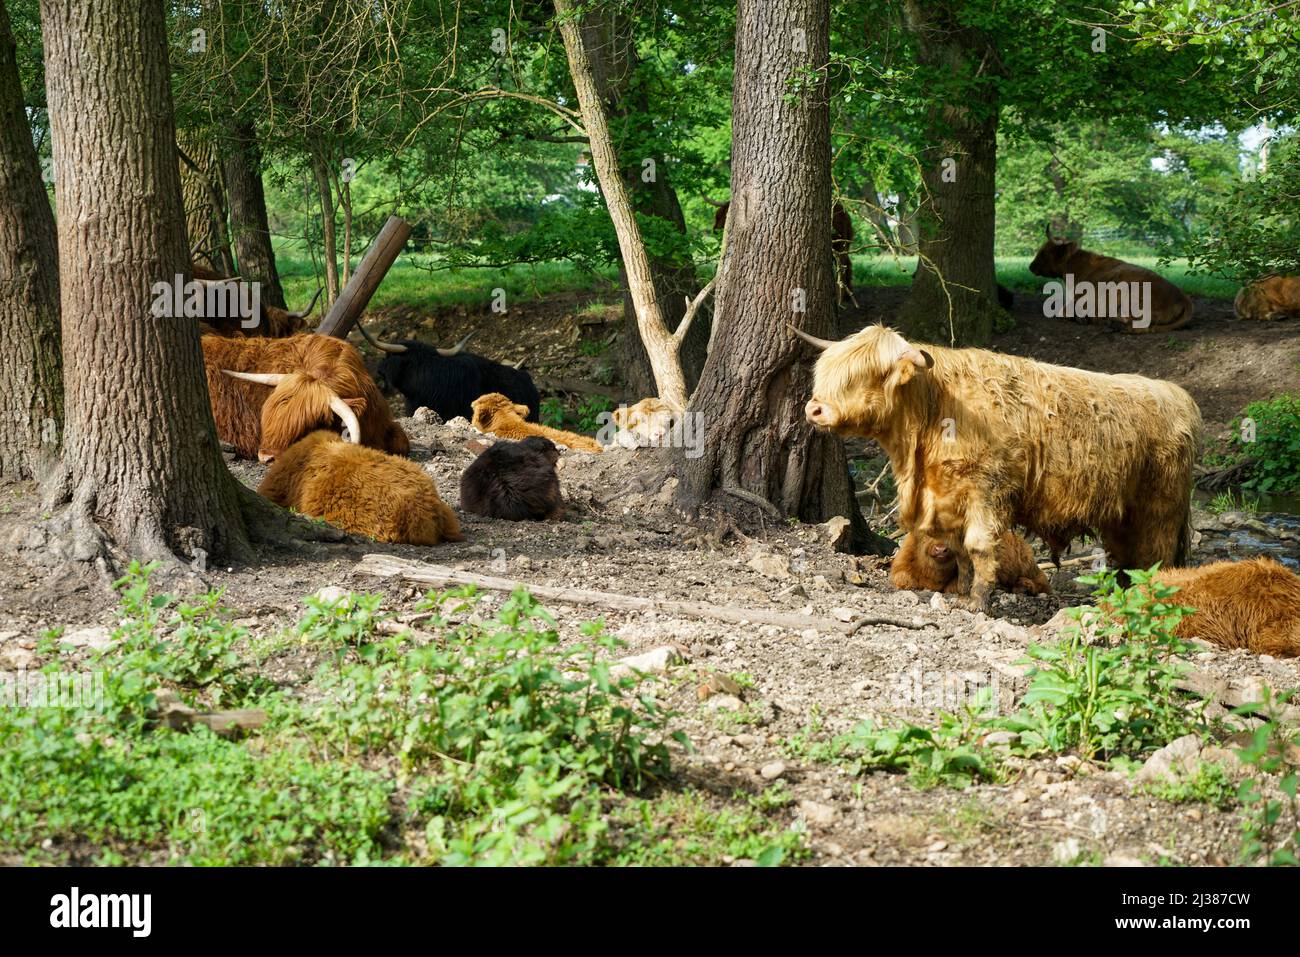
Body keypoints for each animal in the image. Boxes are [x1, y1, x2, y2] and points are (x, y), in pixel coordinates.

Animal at [891, 531, 1051, 596]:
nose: (941, 549)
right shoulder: (900, 565)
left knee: (1043, 580)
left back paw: (1025, 587)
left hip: (1025, 563)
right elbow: (903, 578)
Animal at [1028, 227, 1194, 333]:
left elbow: (1061, 312)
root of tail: (1183, 298)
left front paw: (1081, 318)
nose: (1031, 267)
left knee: (1136, 326)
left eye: (1044, 253)